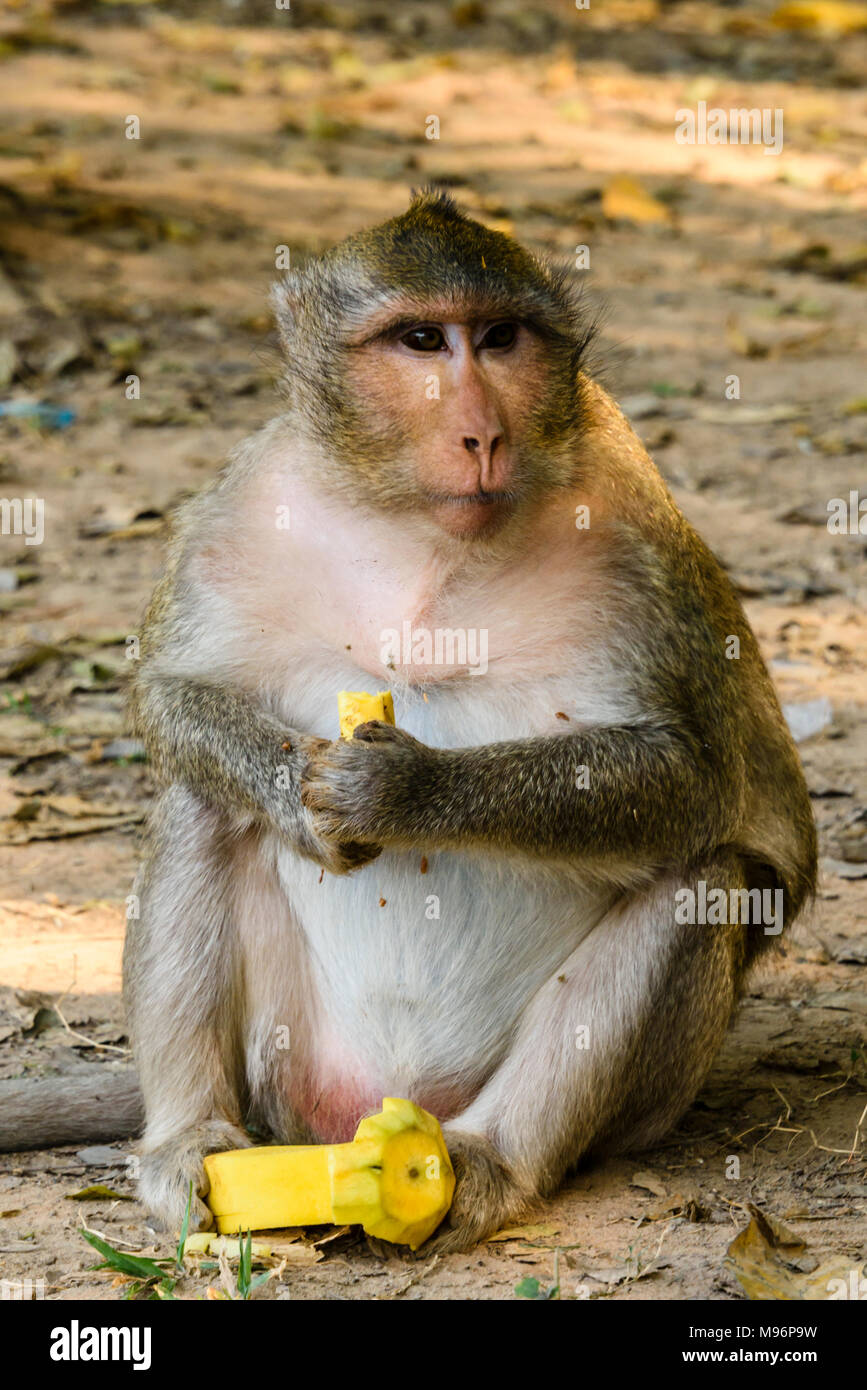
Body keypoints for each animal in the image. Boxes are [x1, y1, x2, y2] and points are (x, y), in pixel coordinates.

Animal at [0, 190, 816, 1253]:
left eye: (501, 339)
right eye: (421, 340)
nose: (481, 434)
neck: (424, 532)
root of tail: (365, 1105)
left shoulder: (638, 527)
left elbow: (691, 780)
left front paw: (403, 789)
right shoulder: (245, 496)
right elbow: (172, 693)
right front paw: (296, 796)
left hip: (634, 1106)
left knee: (703, 877)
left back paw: (490, 1158)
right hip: (284, 1064)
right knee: (200, 804)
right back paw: (190, 1138)